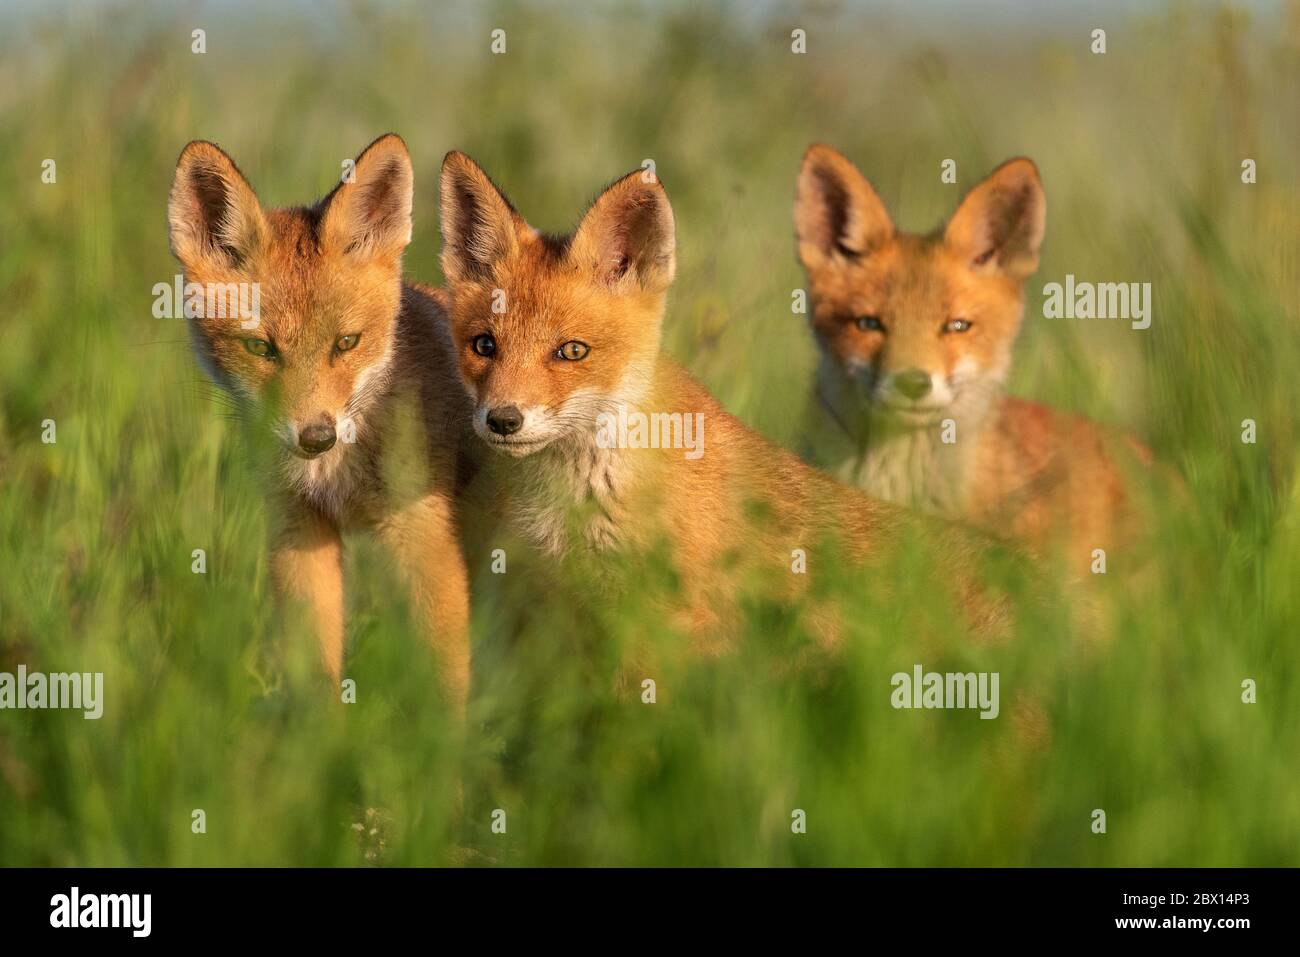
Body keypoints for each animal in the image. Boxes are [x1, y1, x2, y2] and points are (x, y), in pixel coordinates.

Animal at [167, 134, 475, 714]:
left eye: (347, 343)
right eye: (260, 349)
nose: (316, 437)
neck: (338, 475)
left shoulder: (425, 541)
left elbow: (445, 691)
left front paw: (445, 743)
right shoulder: (298, 530)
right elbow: (313, 674)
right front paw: (317, 739)